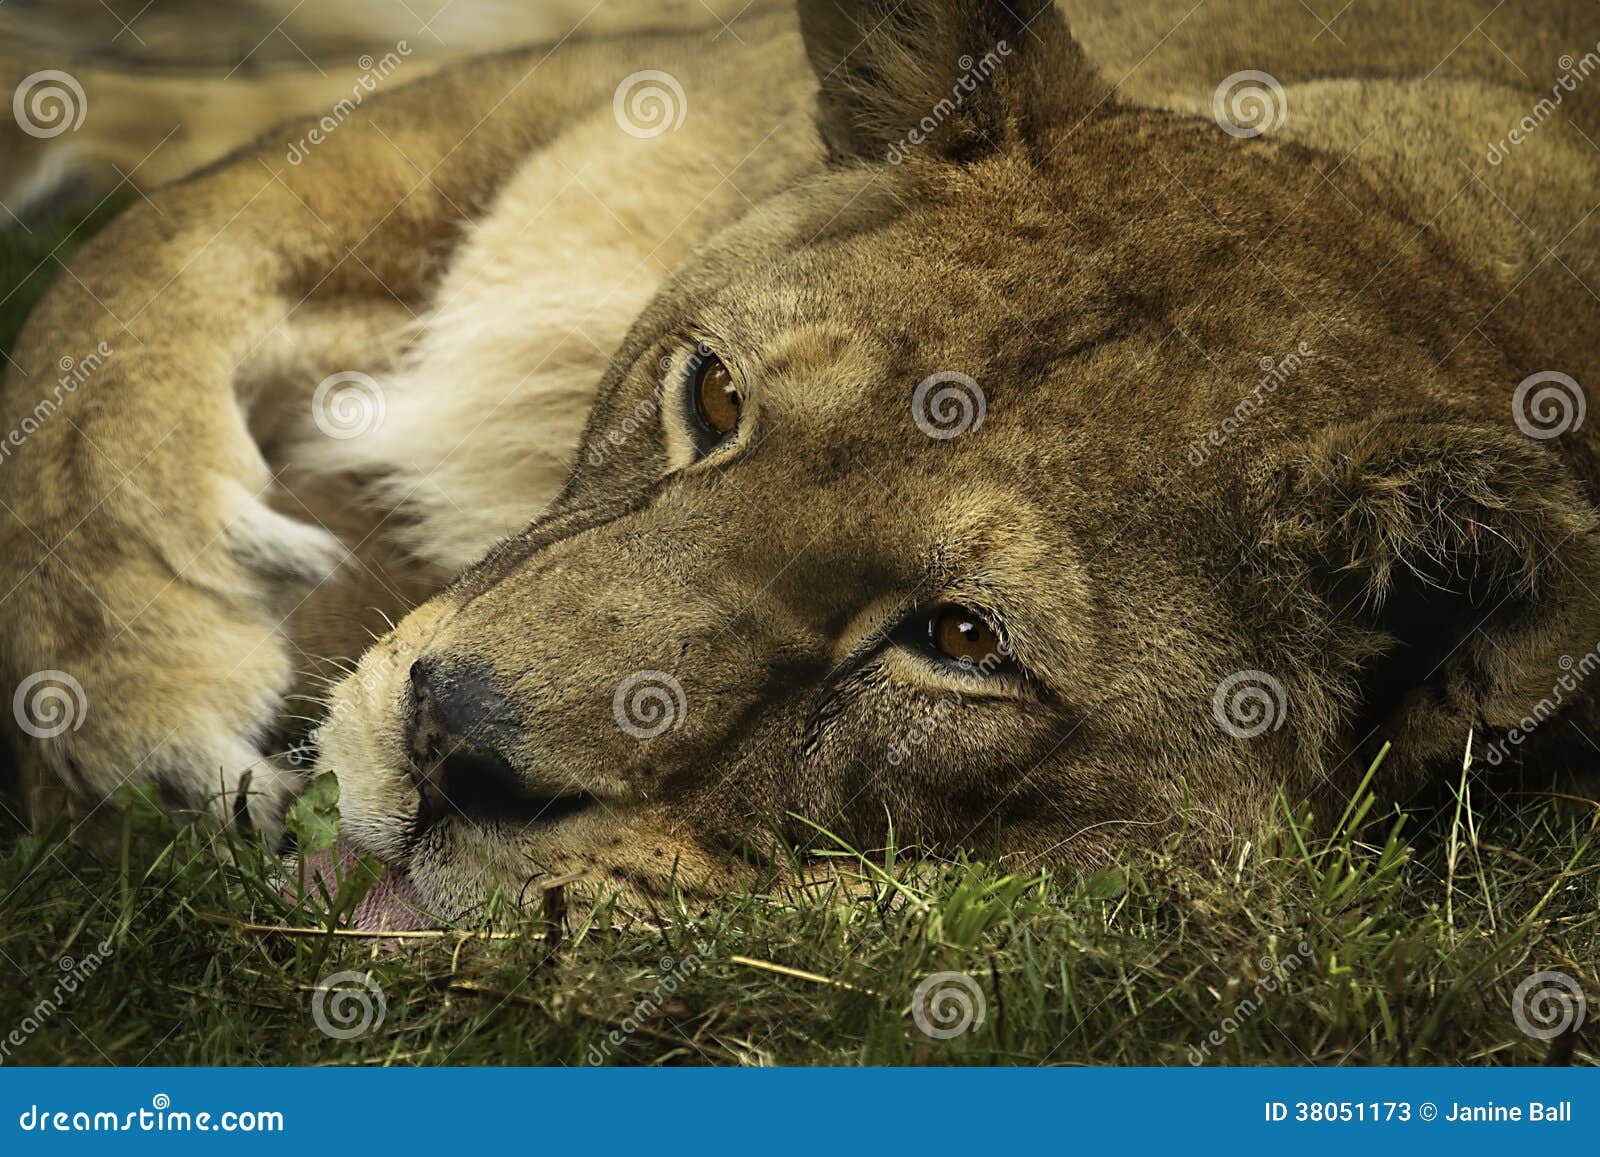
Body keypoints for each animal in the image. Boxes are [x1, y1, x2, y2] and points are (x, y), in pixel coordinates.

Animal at [1, 0, 1597, 921]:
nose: (450, 748)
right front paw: (129, 685)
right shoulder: (596, 94)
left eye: (962, 641)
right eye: (712, 394)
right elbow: (126, 276)